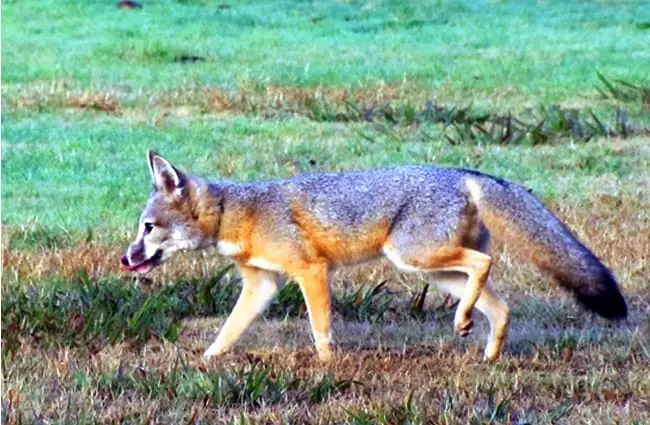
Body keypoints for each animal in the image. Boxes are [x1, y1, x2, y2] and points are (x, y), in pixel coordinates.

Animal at [121, 150, 627, 362]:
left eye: (148, 228)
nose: (127, 260)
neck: (237, 212)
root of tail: (463, 172)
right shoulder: (262, 284)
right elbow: (228, 331)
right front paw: (206, 360)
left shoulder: (311, 271)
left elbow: (320, 328)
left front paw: (327, 367)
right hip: (435, 271)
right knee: (498, 306)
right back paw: (484, 348)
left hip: (413, 257)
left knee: (484, 264)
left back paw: (466, 324)